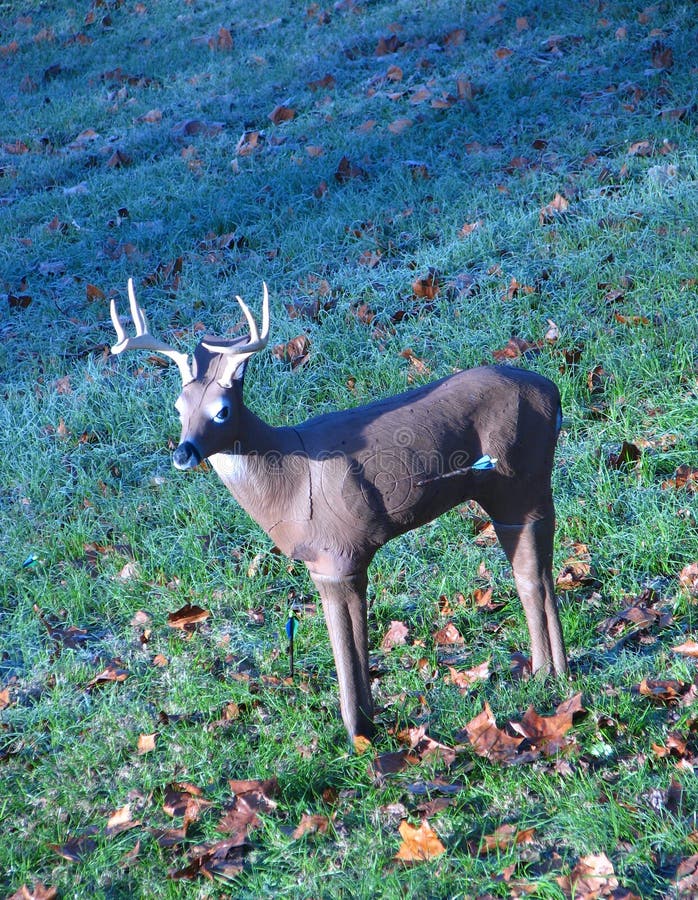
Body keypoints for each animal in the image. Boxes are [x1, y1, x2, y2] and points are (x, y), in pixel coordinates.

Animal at [109, 279, 567, 742]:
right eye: (178, 407)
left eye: (222, 410)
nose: (183, 453)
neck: (288, 476)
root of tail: (553, 390)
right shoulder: (324, 563)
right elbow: (344, 635)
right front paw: (363, 722)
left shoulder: (343, 550)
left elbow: (349, 642)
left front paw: (358, 731)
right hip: (525, 488)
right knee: (541, 566)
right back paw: (557, 673)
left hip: (516, 480)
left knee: (529, 574)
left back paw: (544, 677)